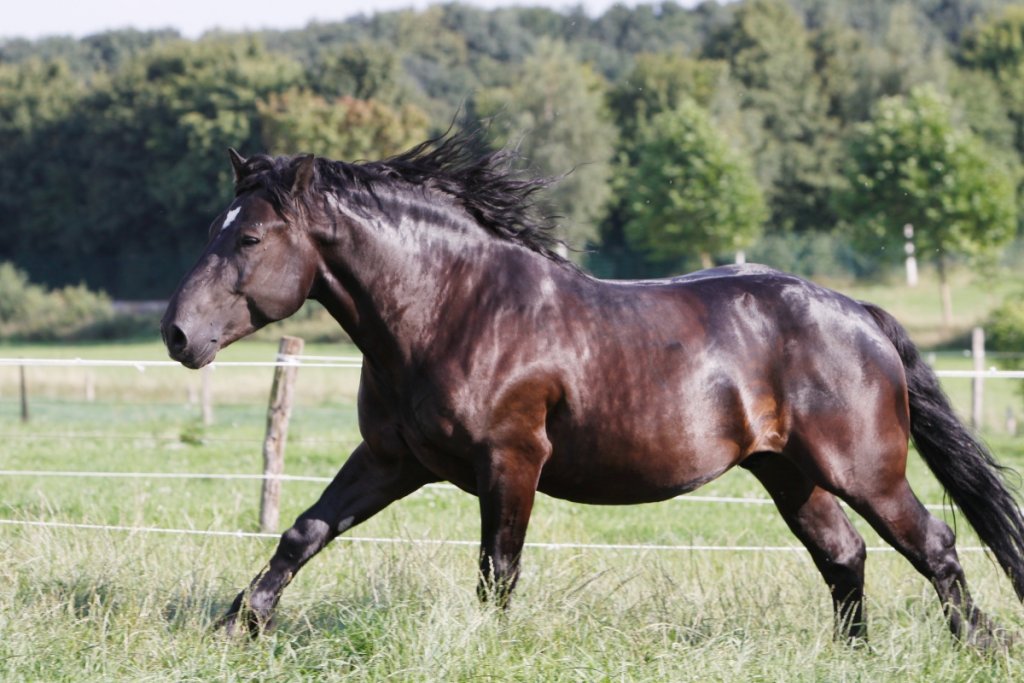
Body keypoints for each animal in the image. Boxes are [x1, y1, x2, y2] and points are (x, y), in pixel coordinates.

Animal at [161, 132, 1024, 647]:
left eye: (250, 237)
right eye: (211, 229)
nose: (177, 335)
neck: (454, 308)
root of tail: (860, 313)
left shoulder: (511, 460)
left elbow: (497, 568)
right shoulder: (390, 458)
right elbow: (304, 531)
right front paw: (236, 623)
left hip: (863, 468)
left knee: (933, 544)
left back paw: (979, 643)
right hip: (790, 472)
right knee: (844, 556)